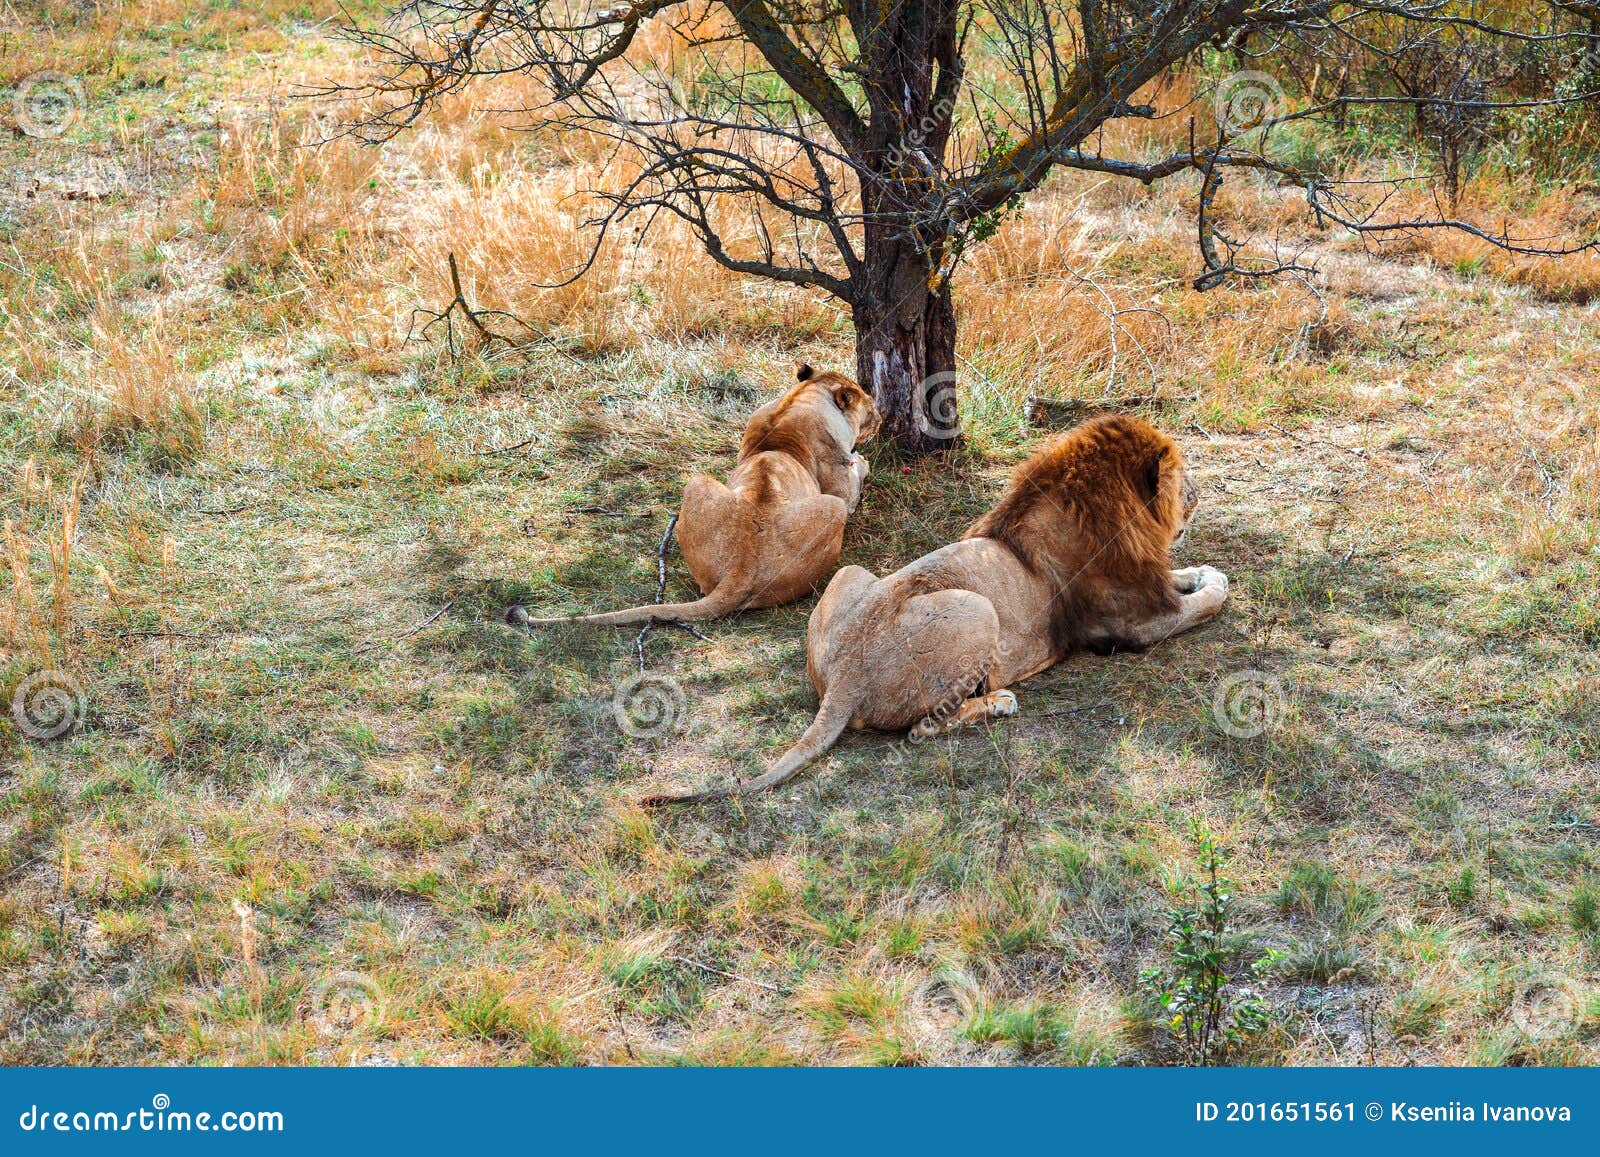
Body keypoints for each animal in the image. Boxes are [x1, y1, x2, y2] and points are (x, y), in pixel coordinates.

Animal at [506, 365, 880, 628]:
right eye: (870, 407)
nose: (880, 416)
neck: (799, 400)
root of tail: (742, 567)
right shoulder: (841, 490)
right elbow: (855, 479)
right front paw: (863, 460)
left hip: (697, 485)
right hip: (827, 509)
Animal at [642, 414, 1228, 805]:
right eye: (1183, 479)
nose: (1201, 494)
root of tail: (846, 677)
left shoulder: (1147, 583)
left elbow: (1184, 579)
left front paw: (1199, 570)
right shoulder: (1131, 624)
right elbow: (1208, 601)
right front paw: (1215, 579)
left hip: (852, 575)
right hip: (978, 608)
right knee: (923, 730)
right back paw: (999, 703)